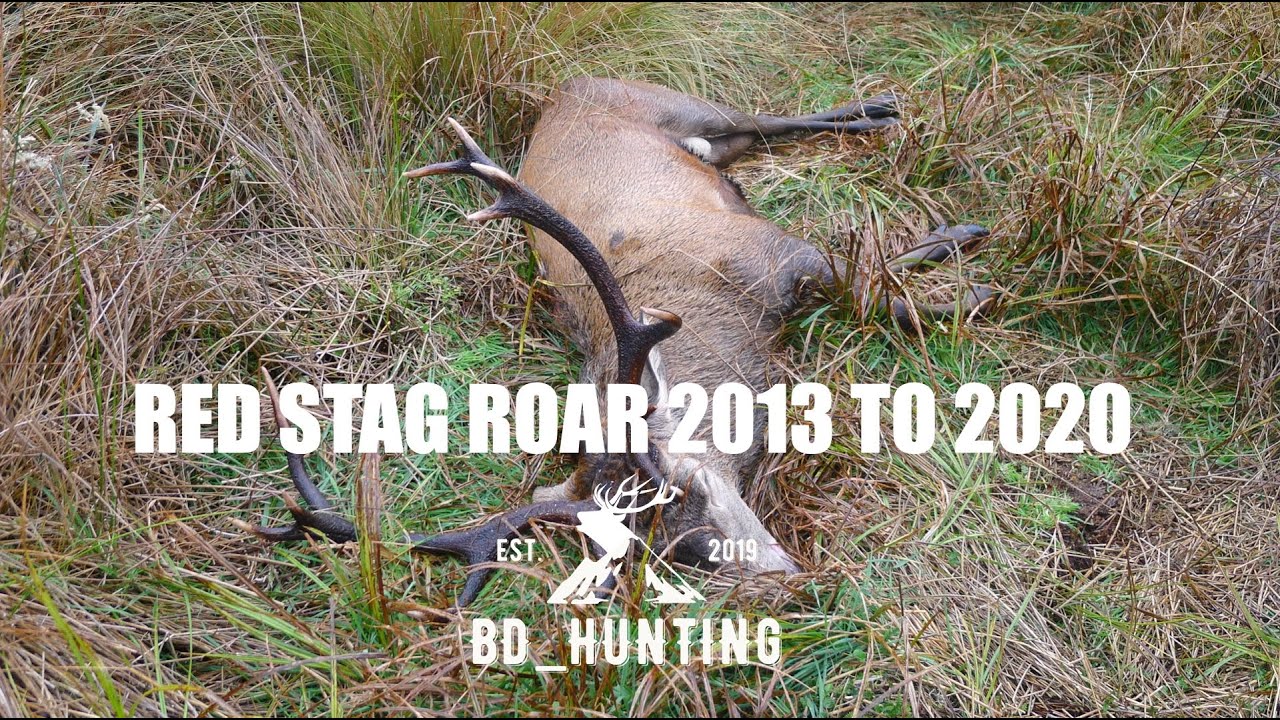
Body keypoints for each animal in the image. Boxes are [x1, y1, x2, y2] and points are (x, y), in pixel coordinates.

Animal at [240, 78, 995, 608]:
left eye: (678, 482)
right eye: (652, 552)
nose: (784, 583)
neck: (732, 319)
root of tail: (564, 88)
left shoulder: (782, 250)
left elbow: (880, 290)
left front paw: (966, 278)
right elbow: (878, 288)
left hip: (680, 102)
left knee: (768, 118)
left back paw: (886, 114)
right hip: (711, 140)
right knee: (759, 132)